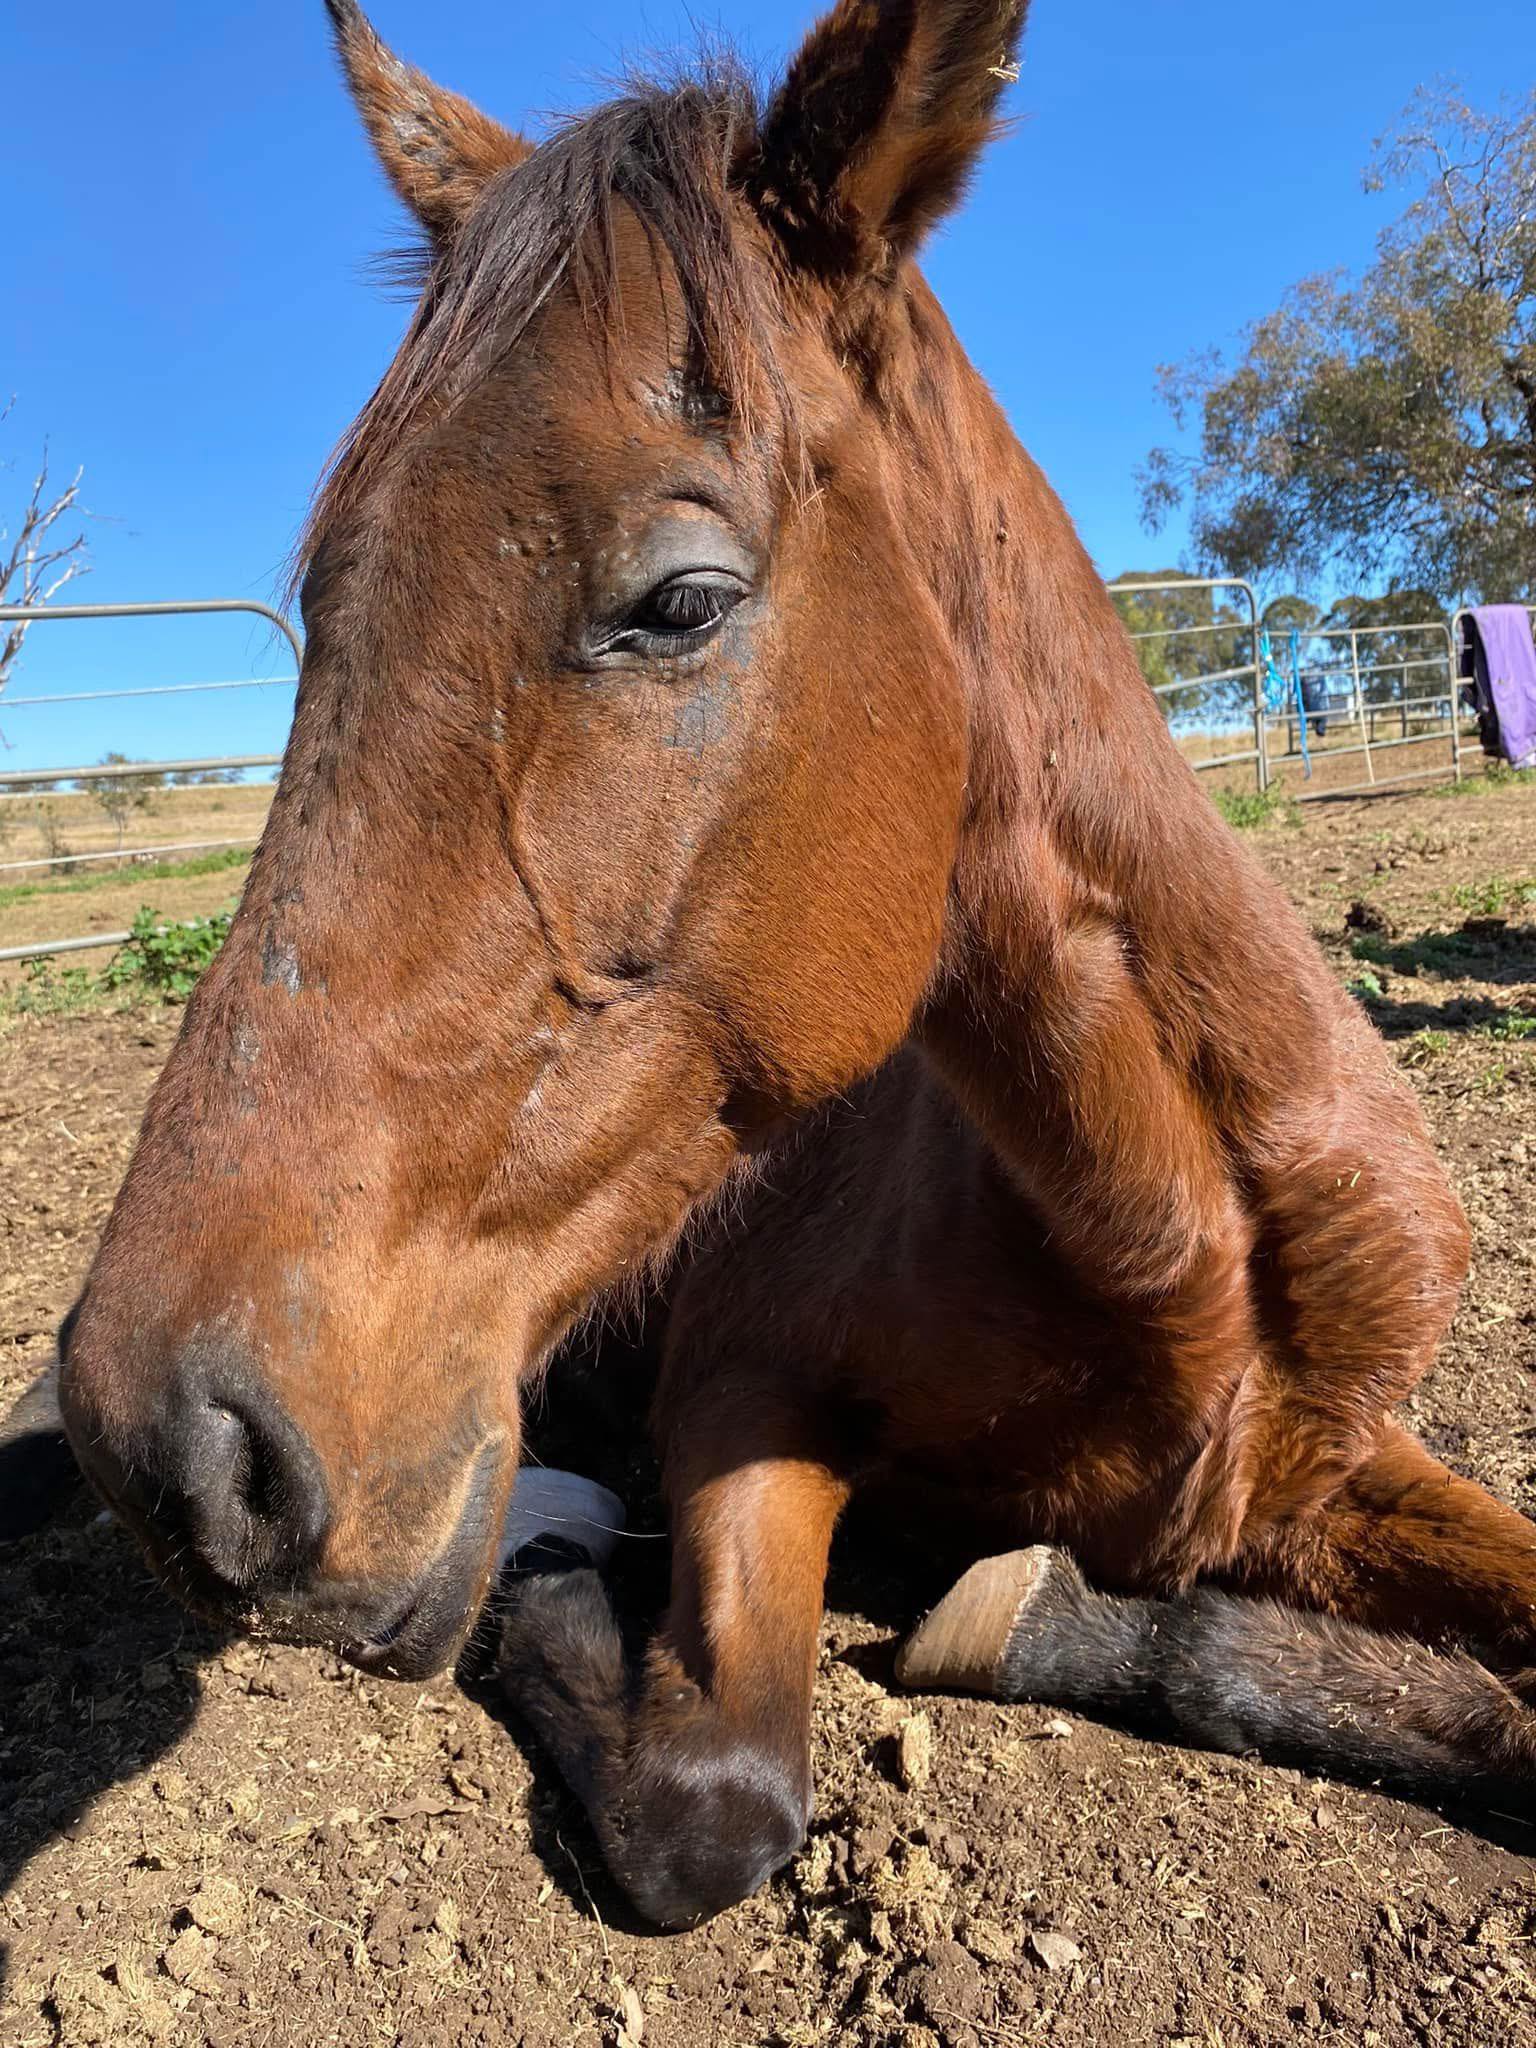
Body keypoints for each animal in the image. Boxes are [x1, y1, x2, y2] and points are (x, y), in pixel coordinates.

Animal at [47, 0, 1536, 1932]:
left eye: (680, 599)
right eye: (329, 600)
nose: (168, 1448)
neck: (1180, 1255)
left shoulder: (1338, 1459)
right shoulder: (738, 1396)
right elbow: (715, 1793)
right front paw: (565, 1557)